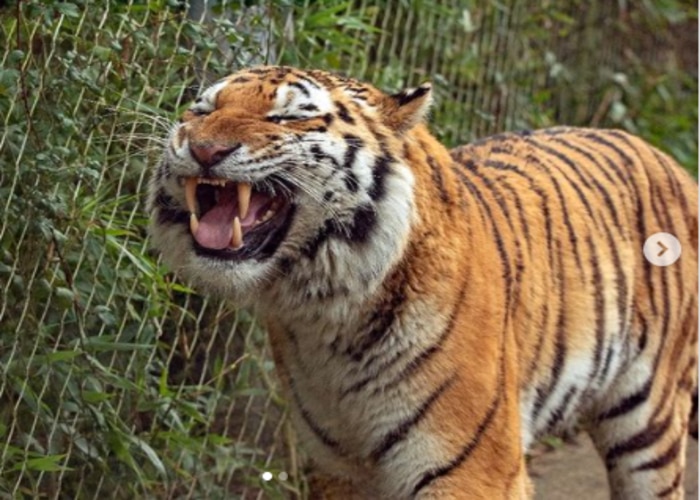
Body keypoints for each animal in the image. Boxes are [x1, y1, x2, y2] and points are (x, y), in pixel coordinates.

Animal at [147, 65, 698, 499]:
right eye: (201, 109)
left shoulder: (471, 469)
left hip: (648, 423)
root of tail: (667, 160)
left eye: (288, 117)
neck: (327, 311)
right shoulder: (337, 469)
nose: (203, 148)